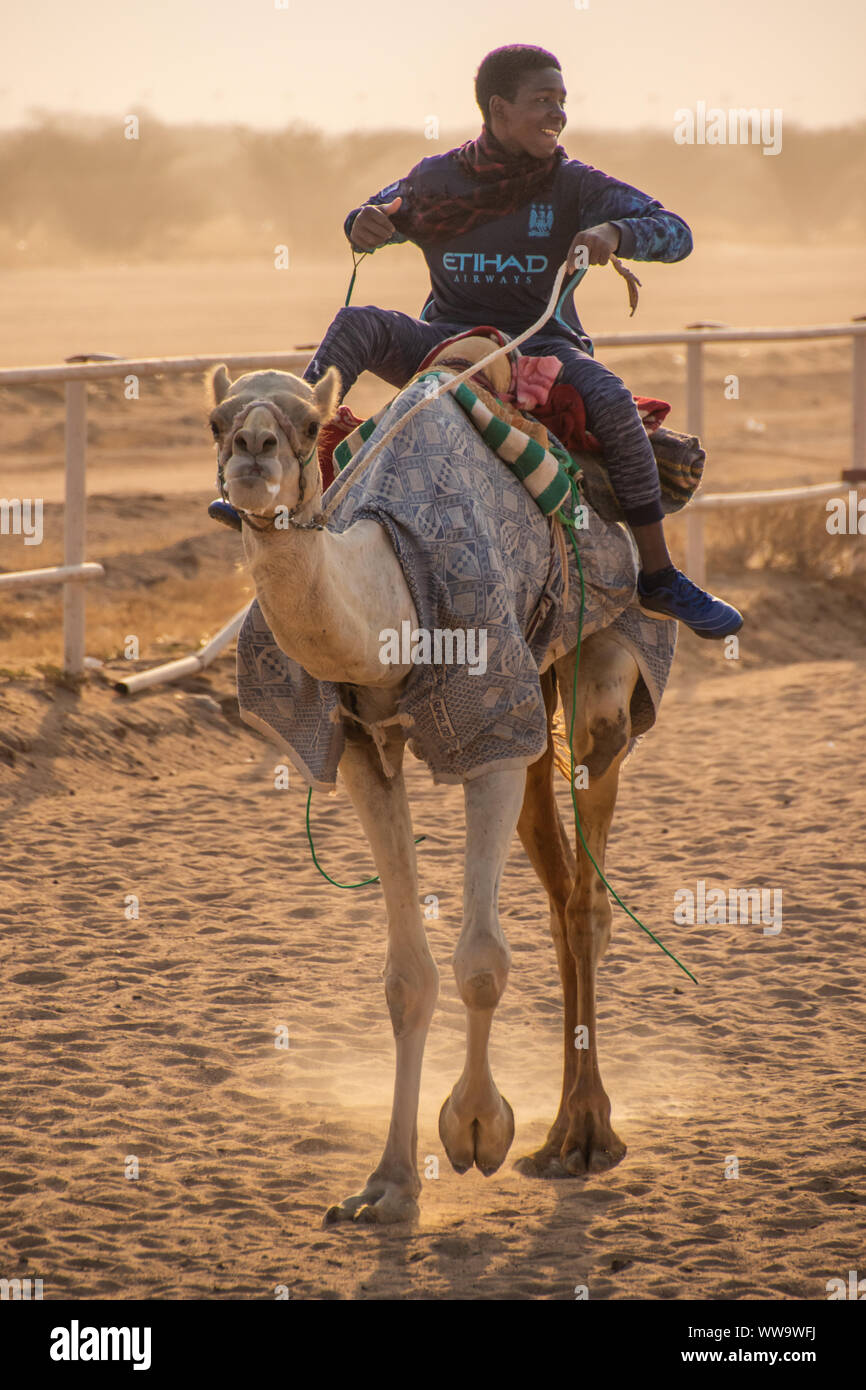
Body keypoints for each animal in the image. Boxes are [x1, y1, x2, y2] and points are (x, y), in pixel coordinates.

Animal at [208, 361, 641, 1224]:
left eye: (308, 424)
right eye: (215, 421)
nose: (253, 452)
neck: (397, 595)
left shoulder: (490, 729)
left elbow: (481, 961)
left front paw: (477, 1128)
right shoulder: (362, 753)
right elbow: (407, 978)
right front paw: (388, 1186)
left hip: (598, 667)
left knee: (587, 897)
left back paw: (582, 1136)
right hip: (535, 708)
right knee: (560, 891)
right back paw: (562, 1135)